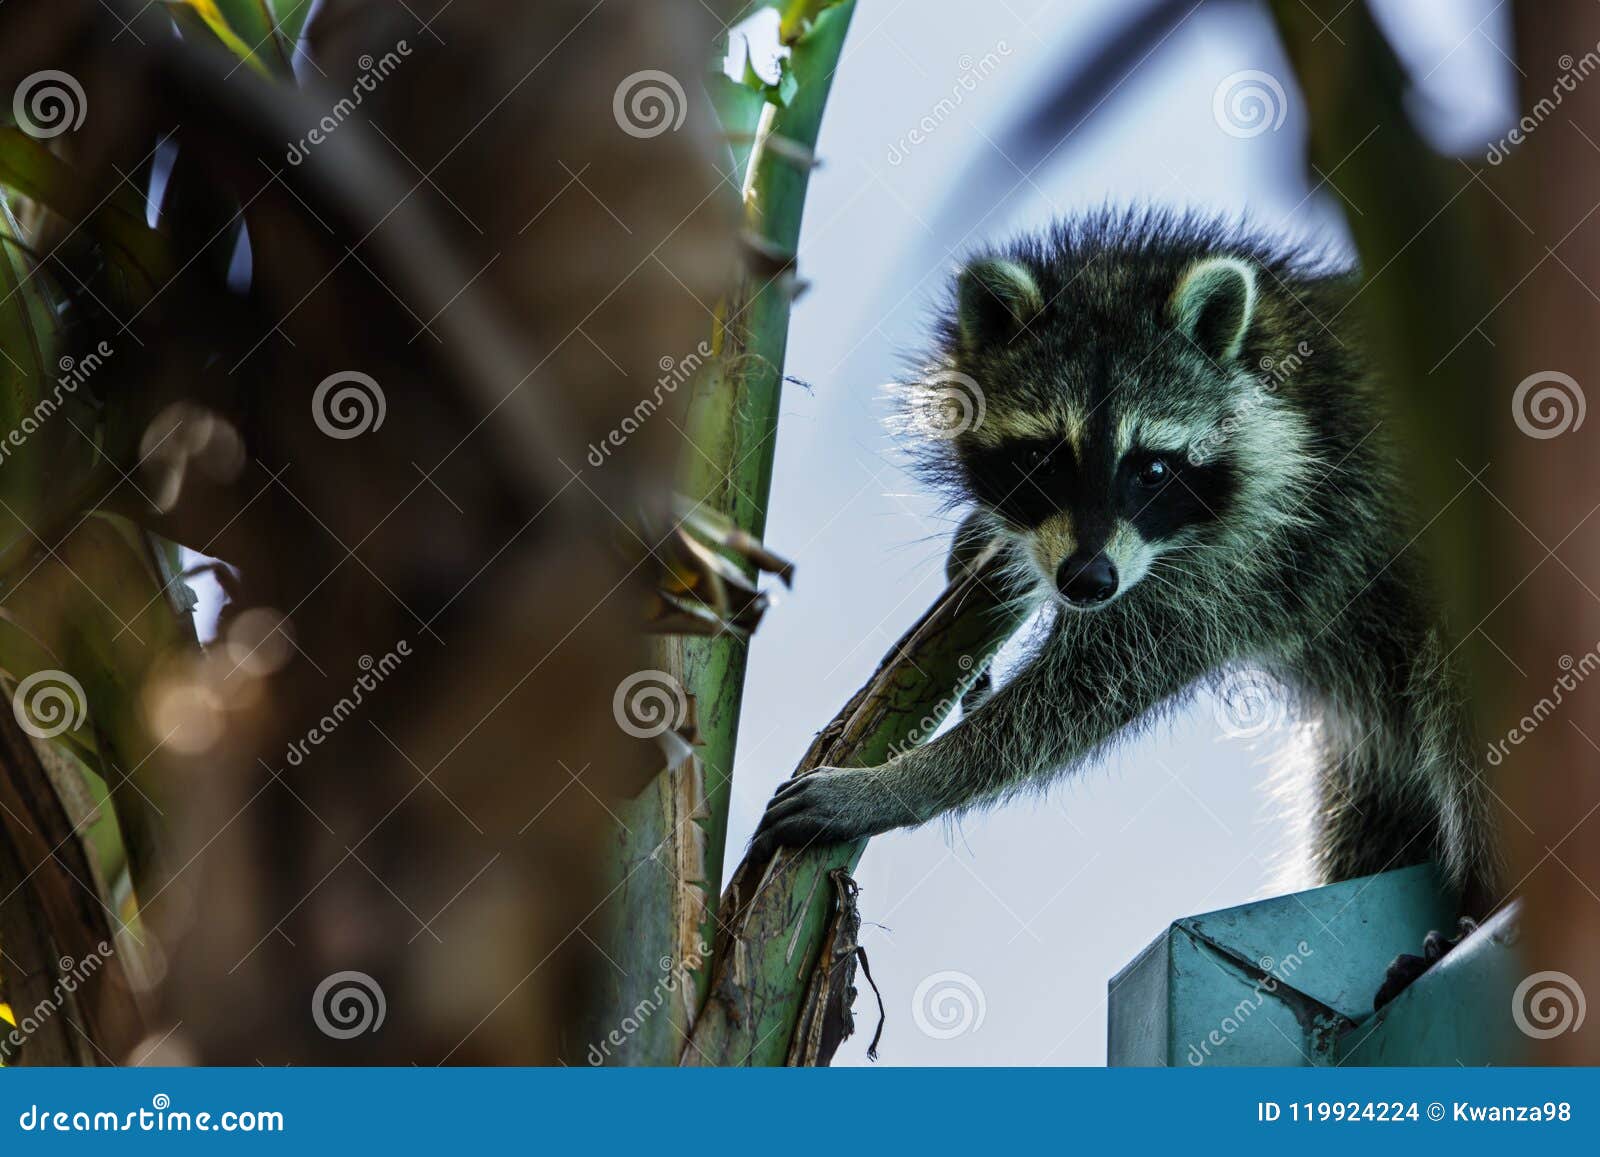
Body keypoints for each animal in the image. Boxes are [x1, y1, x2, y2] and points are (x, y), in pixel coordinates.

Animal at [753, 210, 1504, 932]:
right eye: (1043, 460)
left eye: (1152, 468)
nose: (1087, 582)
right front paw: (986, 558)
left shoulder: (1282, 537)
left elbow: (1092, 688)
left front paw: (905, 782)